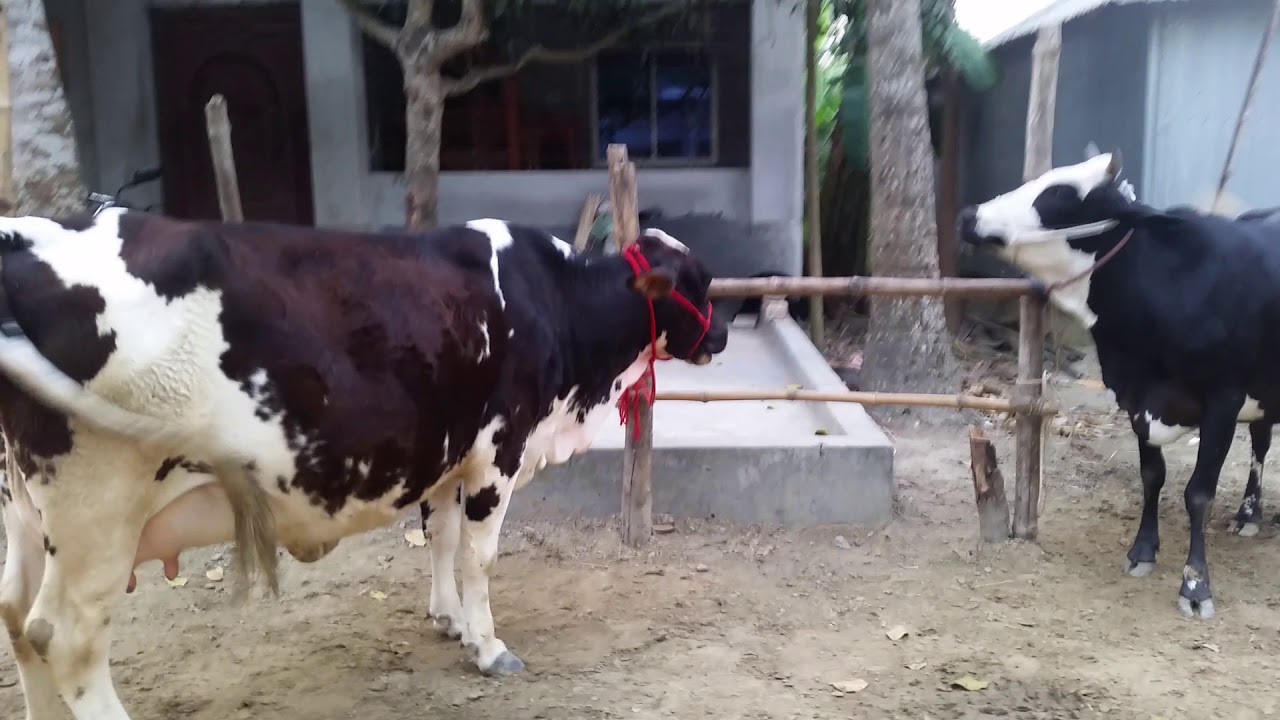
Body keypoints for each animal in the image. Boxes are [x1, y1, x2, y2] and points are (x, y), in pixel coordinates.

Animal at [0, 208, 728, 719]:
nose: (720, 334)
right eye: (697, 284)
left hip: (27, 513)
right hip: (99, 513)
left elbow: (440, 538)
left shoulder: (446, 454)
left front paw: (448, 619)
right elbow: (478, 557)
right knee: (64, 637)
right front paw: (487, 645)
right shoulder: (497, 453)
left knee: (16, 617)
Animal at [958, 150, 1280, 621]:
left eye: (1058, 195)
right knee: (1261, 440)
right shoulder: (1135, 398)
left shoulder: (1223, 398)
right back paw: (1249, 514)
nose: (968, 215)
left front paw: (1195, 586)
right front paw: (1142, 551)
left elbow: (1198, 493)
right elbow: (1152, 476)